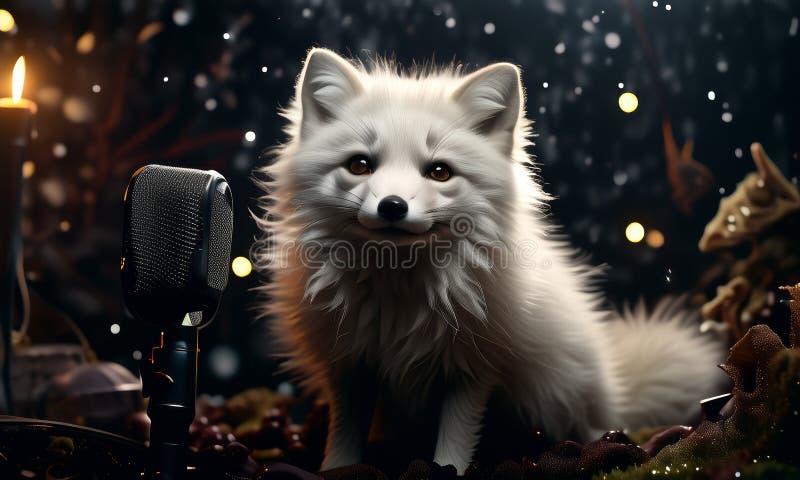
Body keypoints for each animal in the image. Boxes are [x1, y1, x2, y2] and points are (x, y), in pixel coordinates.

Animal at [252, 48, 727, 473]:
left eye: (439, 172)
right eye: (360, 165)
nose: (392, 206)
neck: (399, 293)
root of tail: (614, 387)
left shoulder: (472, 369)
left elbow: (455, 441)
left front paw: (448, 469)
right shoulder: (350, 366)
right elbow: (344, 436)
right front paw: (337, 468)